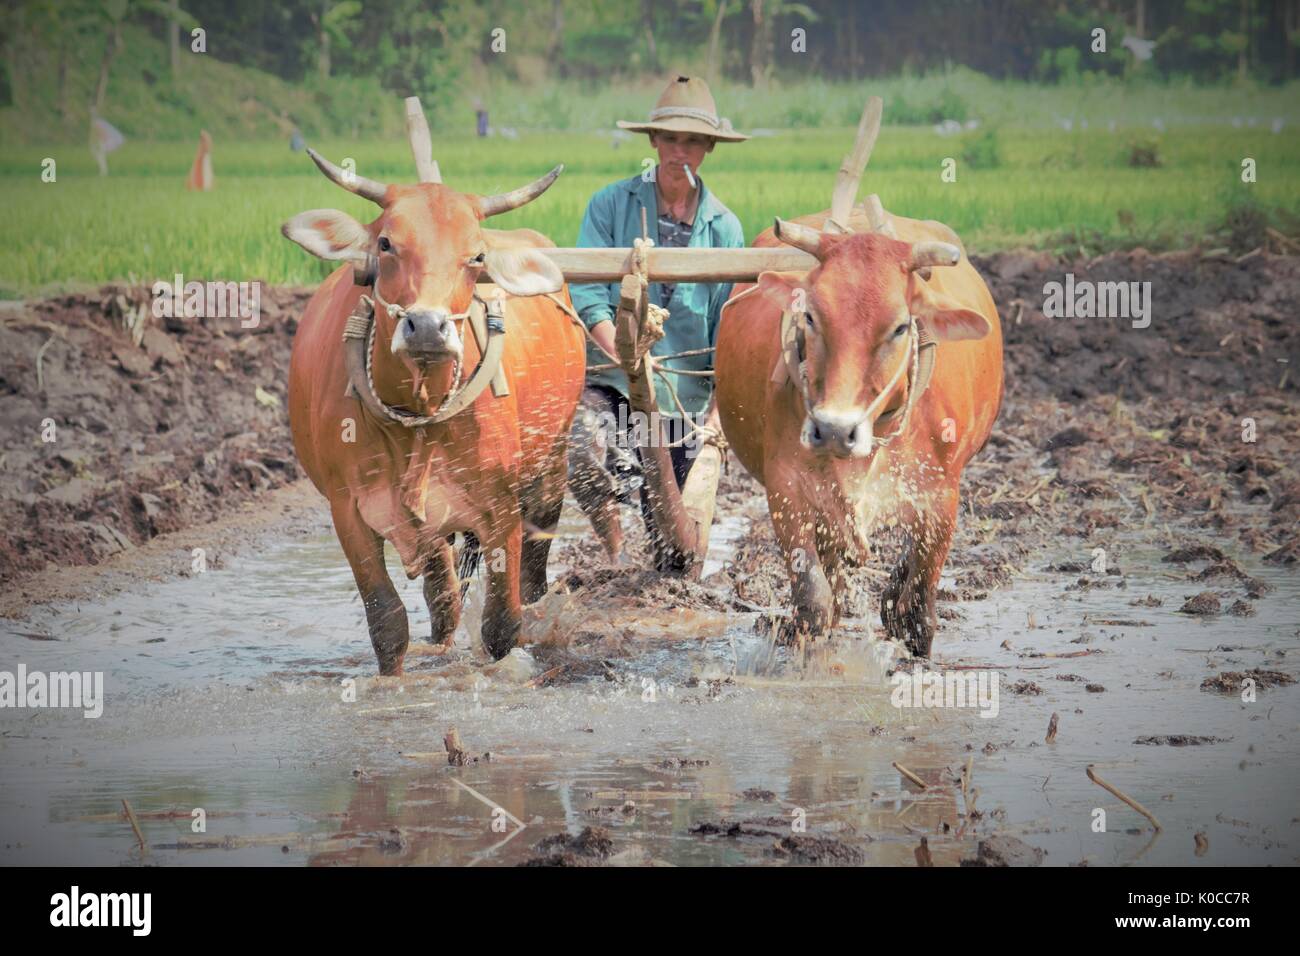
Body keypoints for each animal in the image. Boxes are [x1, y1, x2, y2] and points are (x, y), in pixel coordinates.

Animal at [281, 150, 586, 675]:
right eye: (386, 243)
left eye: (477, 256)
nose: (426, 327)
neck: (415, 414)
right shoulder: (348, 512)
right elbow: (388, 623)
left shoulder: (502, 507)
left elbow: (502, 625)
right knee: (443, 599)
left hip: (552, 467)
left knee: (532, 579)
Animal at [714, 208, 1003, 658]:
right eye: (810, 316)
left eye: (900, 327)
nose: (834, 430)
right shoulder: (786, 491)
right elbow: (812, 598)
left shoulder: (941, 497)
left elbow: (918, 606)